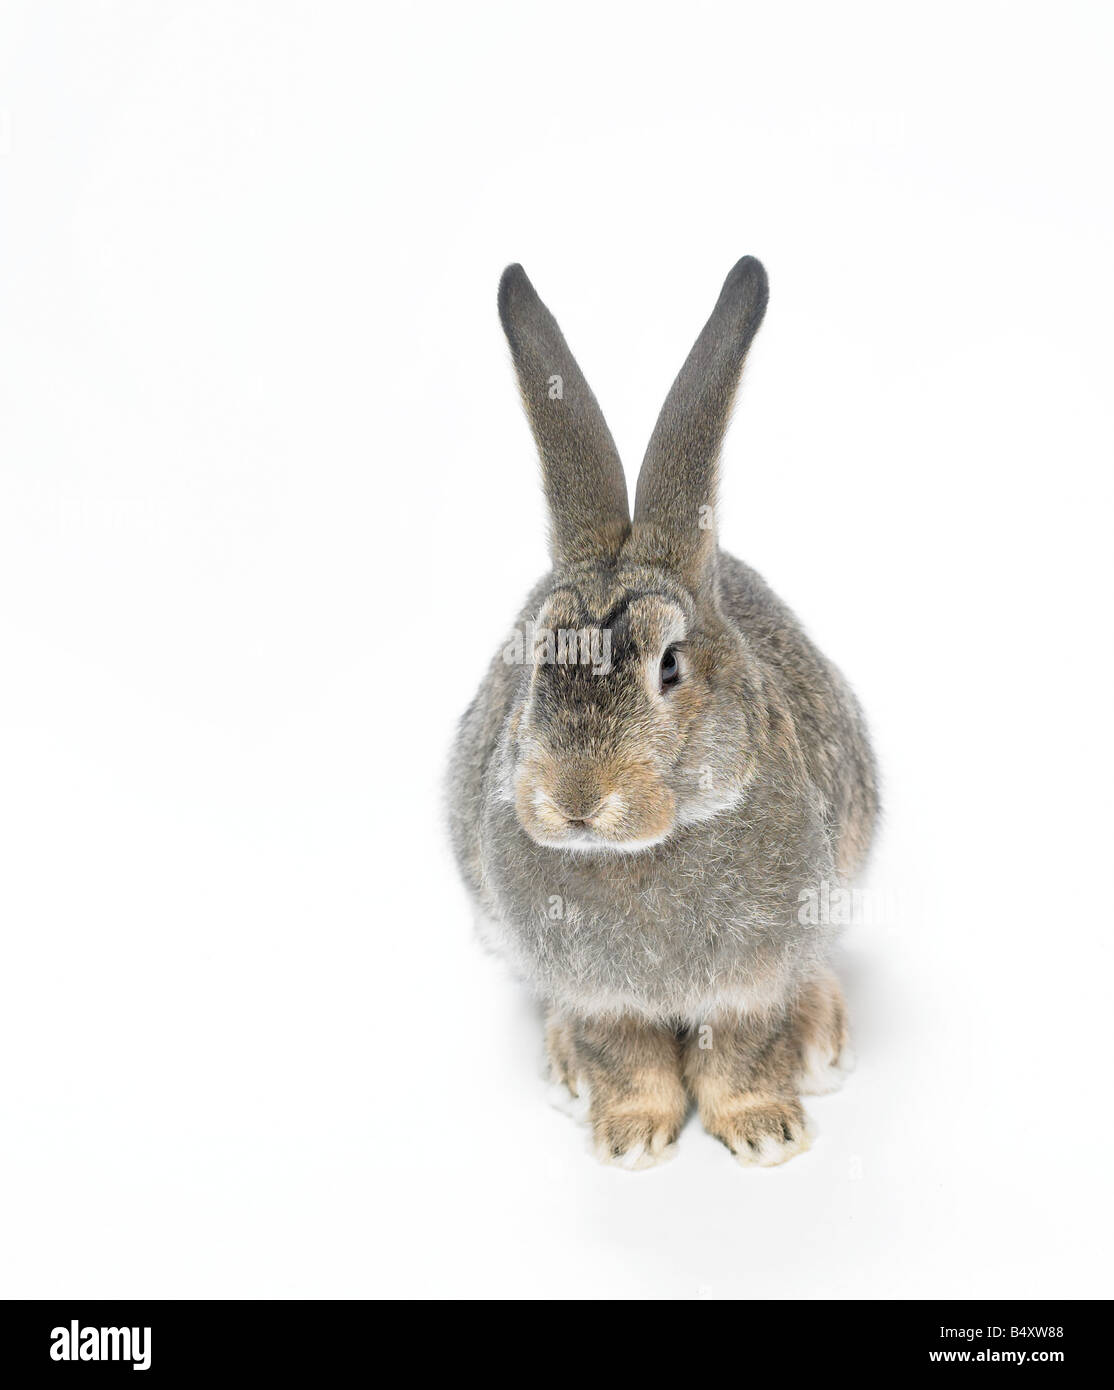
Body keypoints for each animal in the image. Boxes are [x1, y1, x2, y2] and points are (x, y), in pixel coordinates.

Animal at [447, 257, 878, 1170]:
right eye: (533, 656)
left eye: (670, 666)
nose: (574, 798)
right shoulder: (594, 992)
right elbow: (624, 1053)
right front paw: (633, 1139)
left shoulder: (756, 977)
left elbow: (743, 1049)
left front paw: (765, 1132)